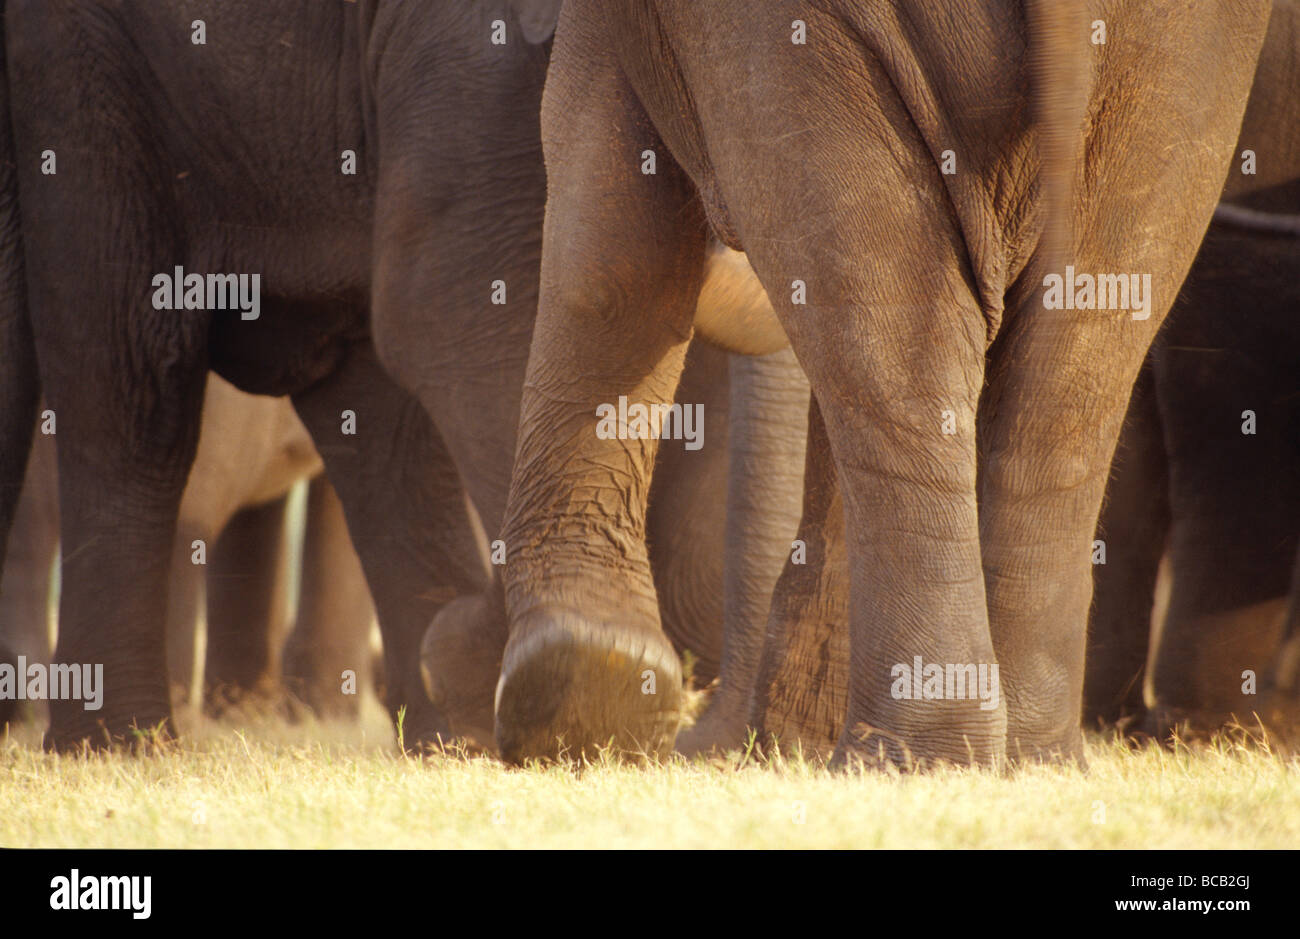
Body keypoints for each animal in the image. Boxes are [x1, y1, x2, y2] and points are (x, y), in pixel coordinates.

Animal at [493, 0, 1272, 767]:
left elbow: (611, 249)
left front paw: (585, 700)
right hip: (1183, 46)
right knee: (1054, 353)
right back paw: (1009, 760)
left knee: (892, 327)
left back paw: (908, 760)